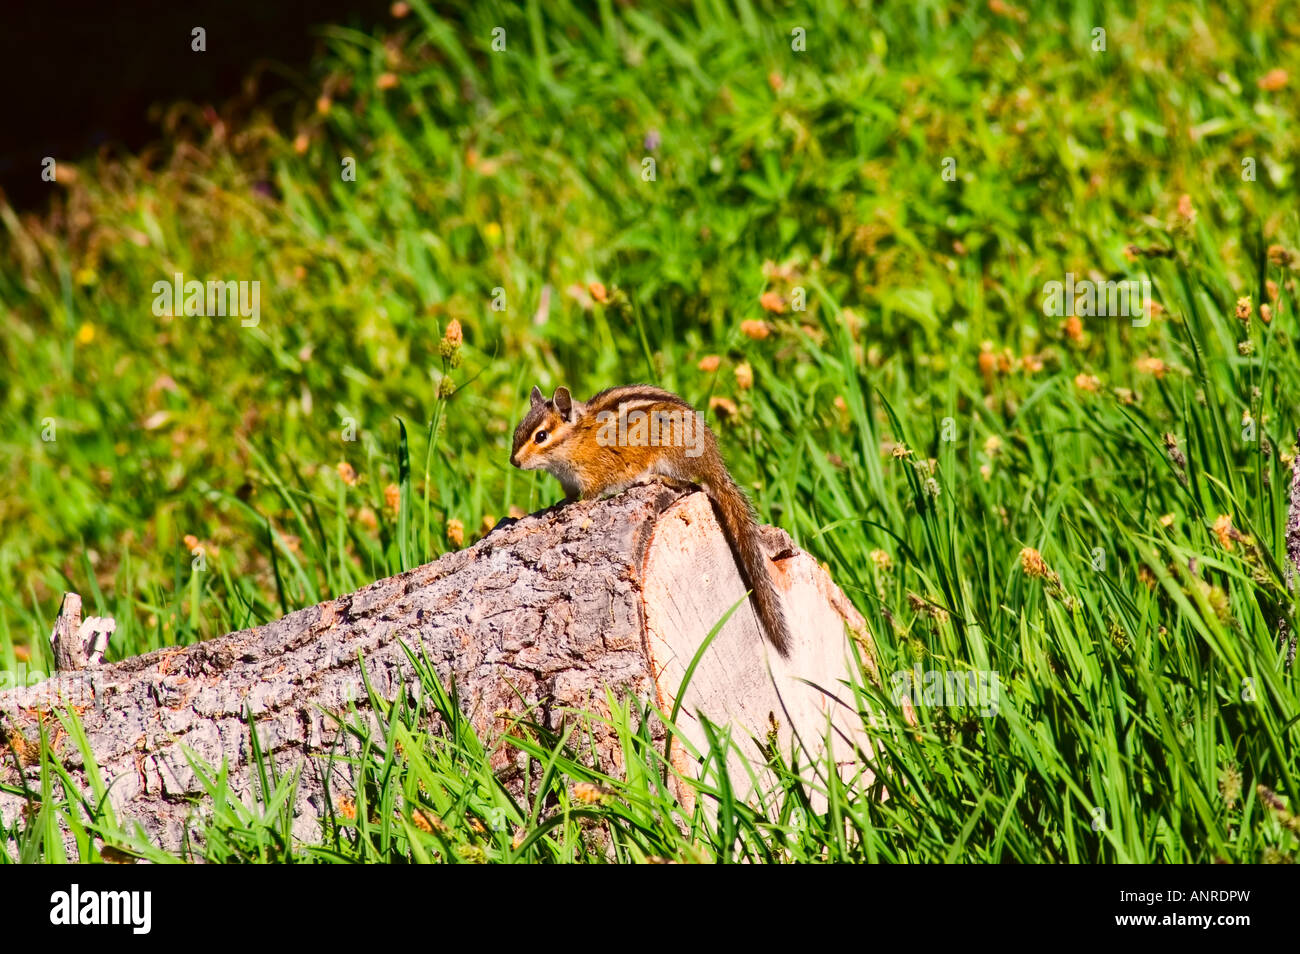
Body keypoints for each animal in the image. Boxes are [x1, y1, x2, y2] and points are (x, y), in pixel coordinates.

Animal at [510, 384, 792, 657]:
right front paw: (559, 505)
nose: (514, 461)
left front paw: (577, 507)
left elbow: (590, 495)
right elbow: (567, 496)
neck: (577, 437)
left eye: (541, 436)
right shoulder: (568, 482)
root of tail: (714, 463)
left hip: (670, 453)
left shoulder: (596, 473)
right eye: (517, 431)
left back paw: (656, 478)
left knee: (691, 483)